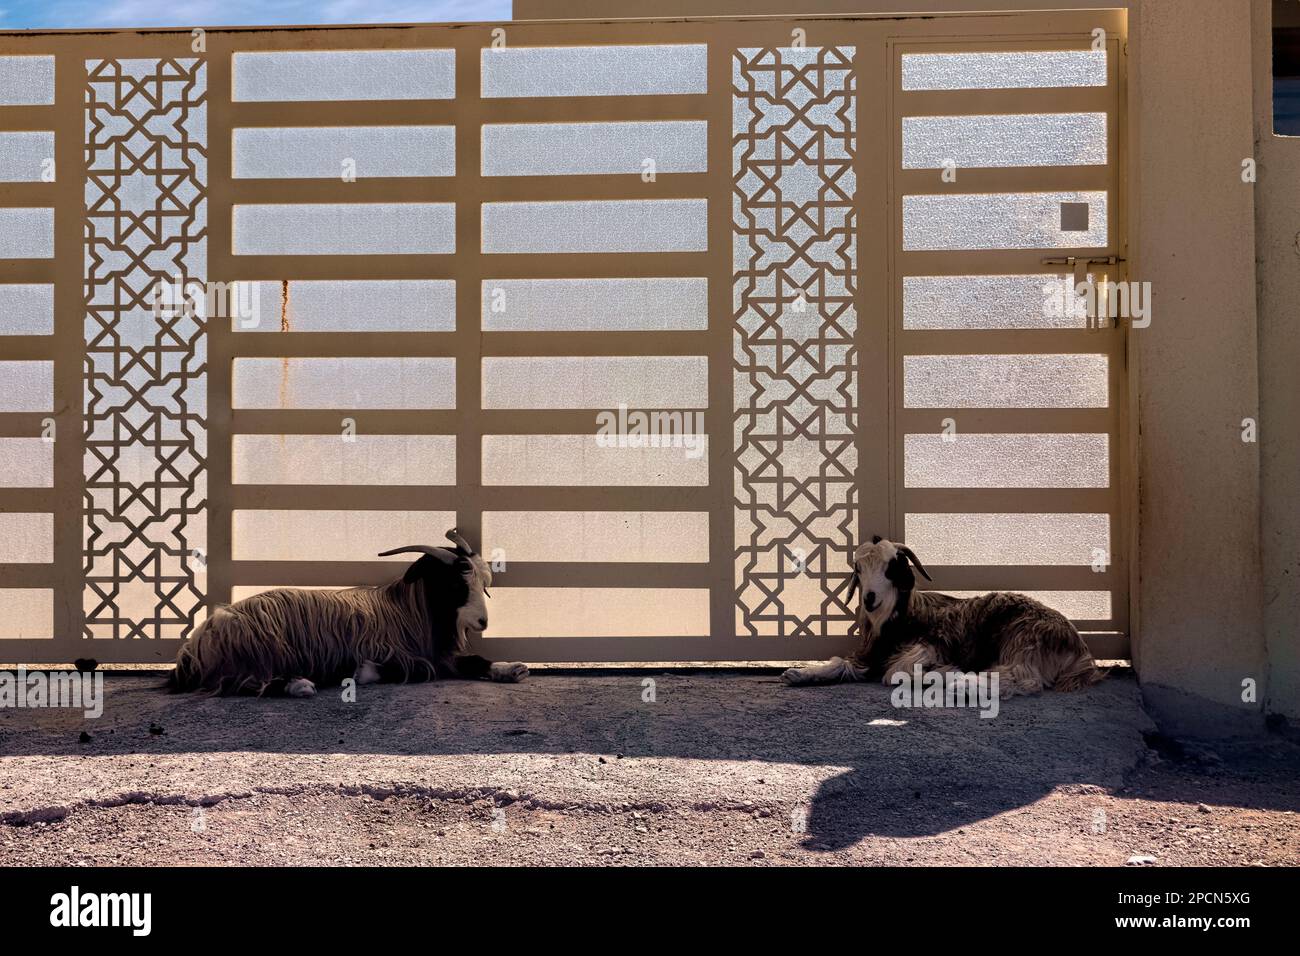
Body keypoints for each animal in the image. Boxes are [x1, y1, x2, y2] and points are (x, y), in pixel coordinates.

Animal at [169, 528, 528, 696]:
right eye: (455, 584)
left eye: (482, 582)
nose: (483, 621)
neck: (409, 610)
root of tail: (195, 642)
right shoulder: (409, 655)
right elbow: (409, 669)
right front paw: (362, 672)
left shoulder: (438, 654)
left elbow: (473, 660)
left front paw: (512, 669)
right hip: (259, 649)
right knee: (242, 684)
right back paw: (299, 685)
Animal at [782, 537, 1106, 696]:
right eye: (858, 570)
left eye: (891, 567)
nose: (869, 599)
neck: (903, 621)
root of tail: (1080, 650)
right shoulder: (868, 655)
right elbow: (842, 664)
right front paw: (799, 673)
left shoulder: (933, 645)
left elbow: (896, 673)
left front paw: (946, 673)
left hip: (1023, 638)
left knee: (1024, 680)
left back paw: (961, 684)